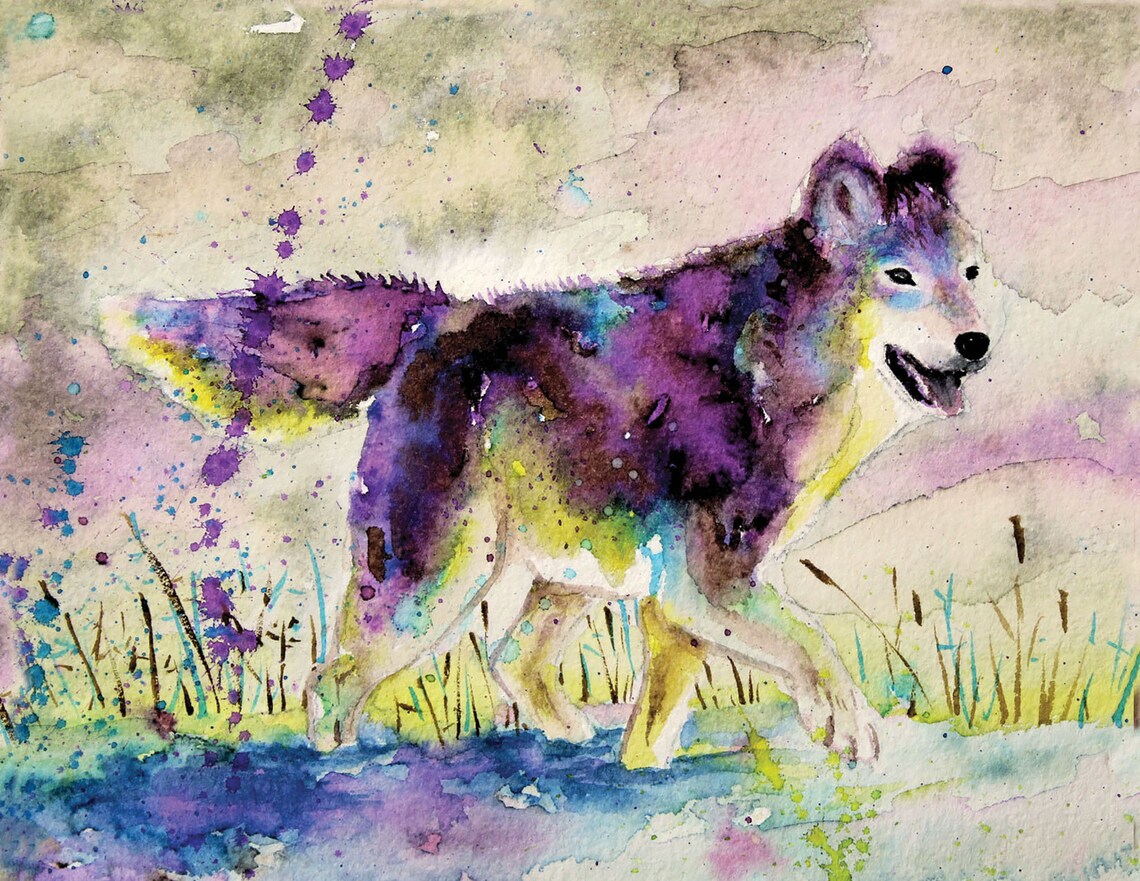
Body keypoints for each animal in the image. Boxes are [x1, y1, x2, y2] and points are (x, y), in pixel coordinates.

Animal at [129, 136, 992, 768]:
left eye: (972, 273)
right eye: (901, 275)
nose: (977, 342)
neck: (781, 358)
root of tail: (433, 313)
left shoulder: (678, 596)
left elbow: (659, 717)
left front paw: (643, 769)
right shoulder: (707, 583)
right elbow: (817, 642)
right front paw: (848, 726)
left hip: (569, 574)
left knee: (507, 656)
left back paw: (566, 734)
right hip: (436, 582)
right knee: (332, 680)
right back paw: (337, 767)